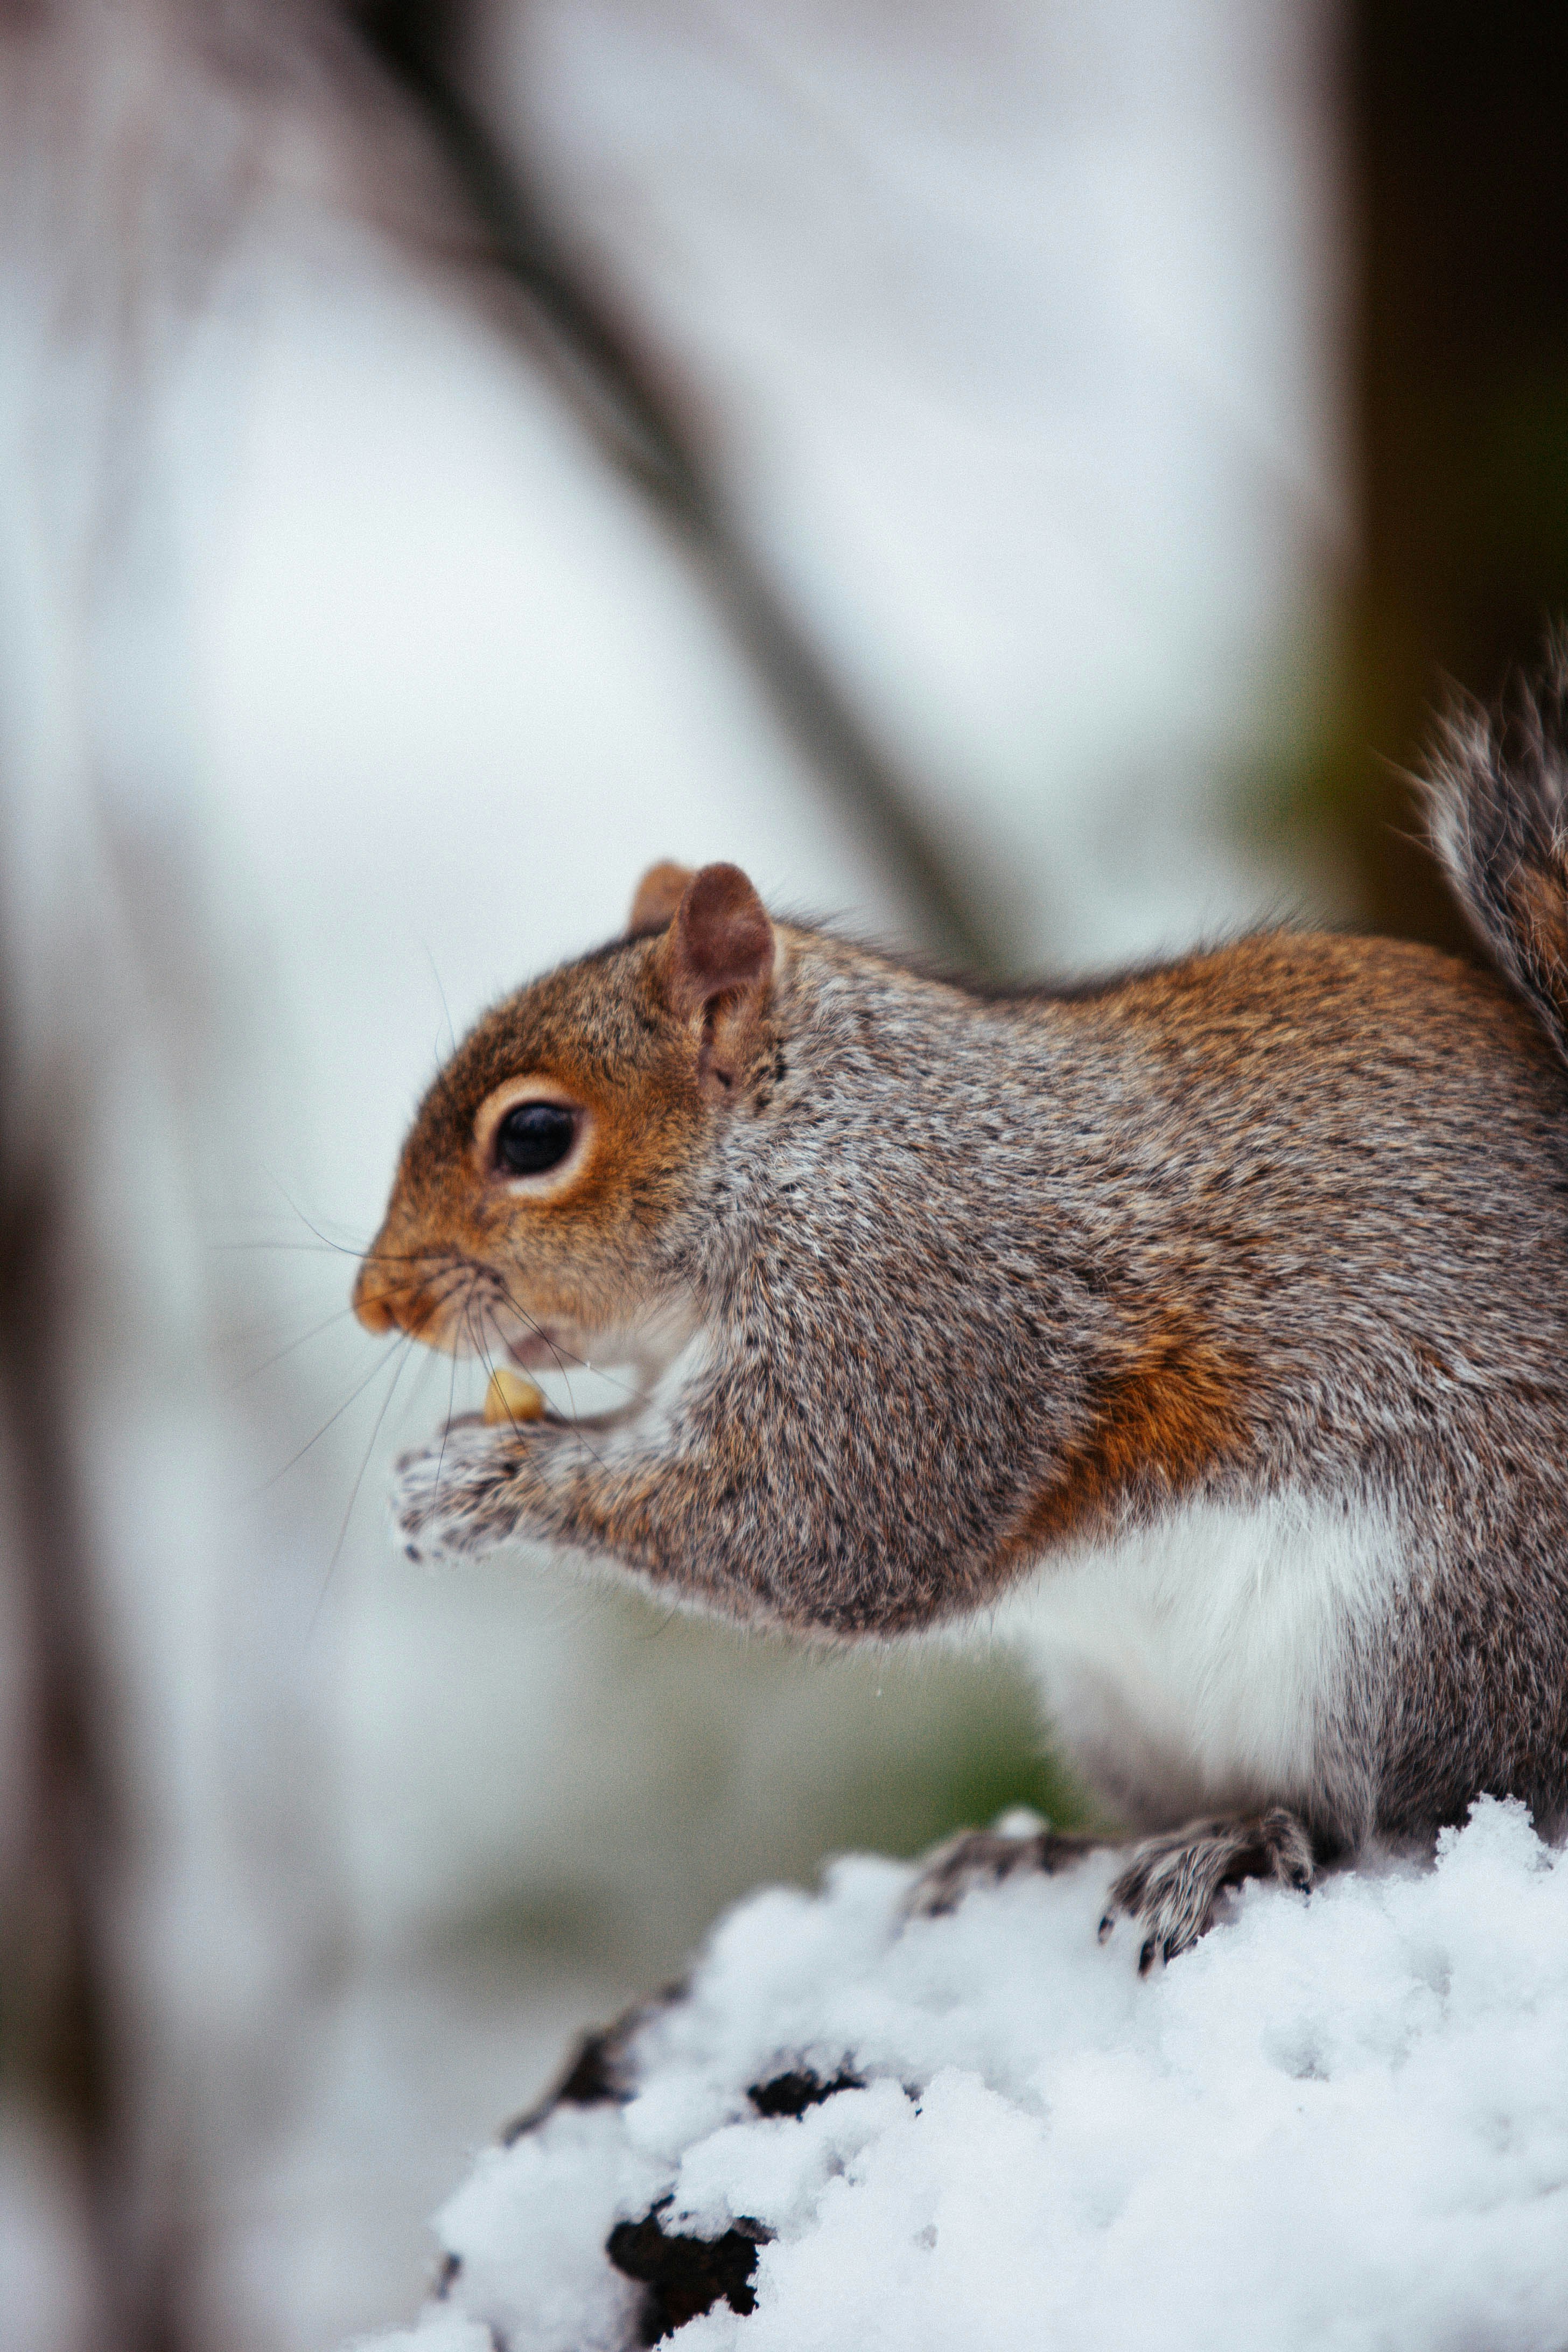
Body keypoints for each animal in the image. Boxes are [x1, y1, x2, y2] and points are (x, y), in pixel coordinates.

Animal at [353, 657, 1568, 1970]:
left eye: (534, 1136)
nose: (375, 1303)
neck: (811, 1142)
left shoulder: (913, 1300)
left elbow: (816, 1518)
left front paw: (489, 1480)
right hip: (1126, 1710)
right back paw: (1037, 1850)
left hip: (1413, 1633)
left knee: (1398, 1822)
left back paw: (1235, 1843)